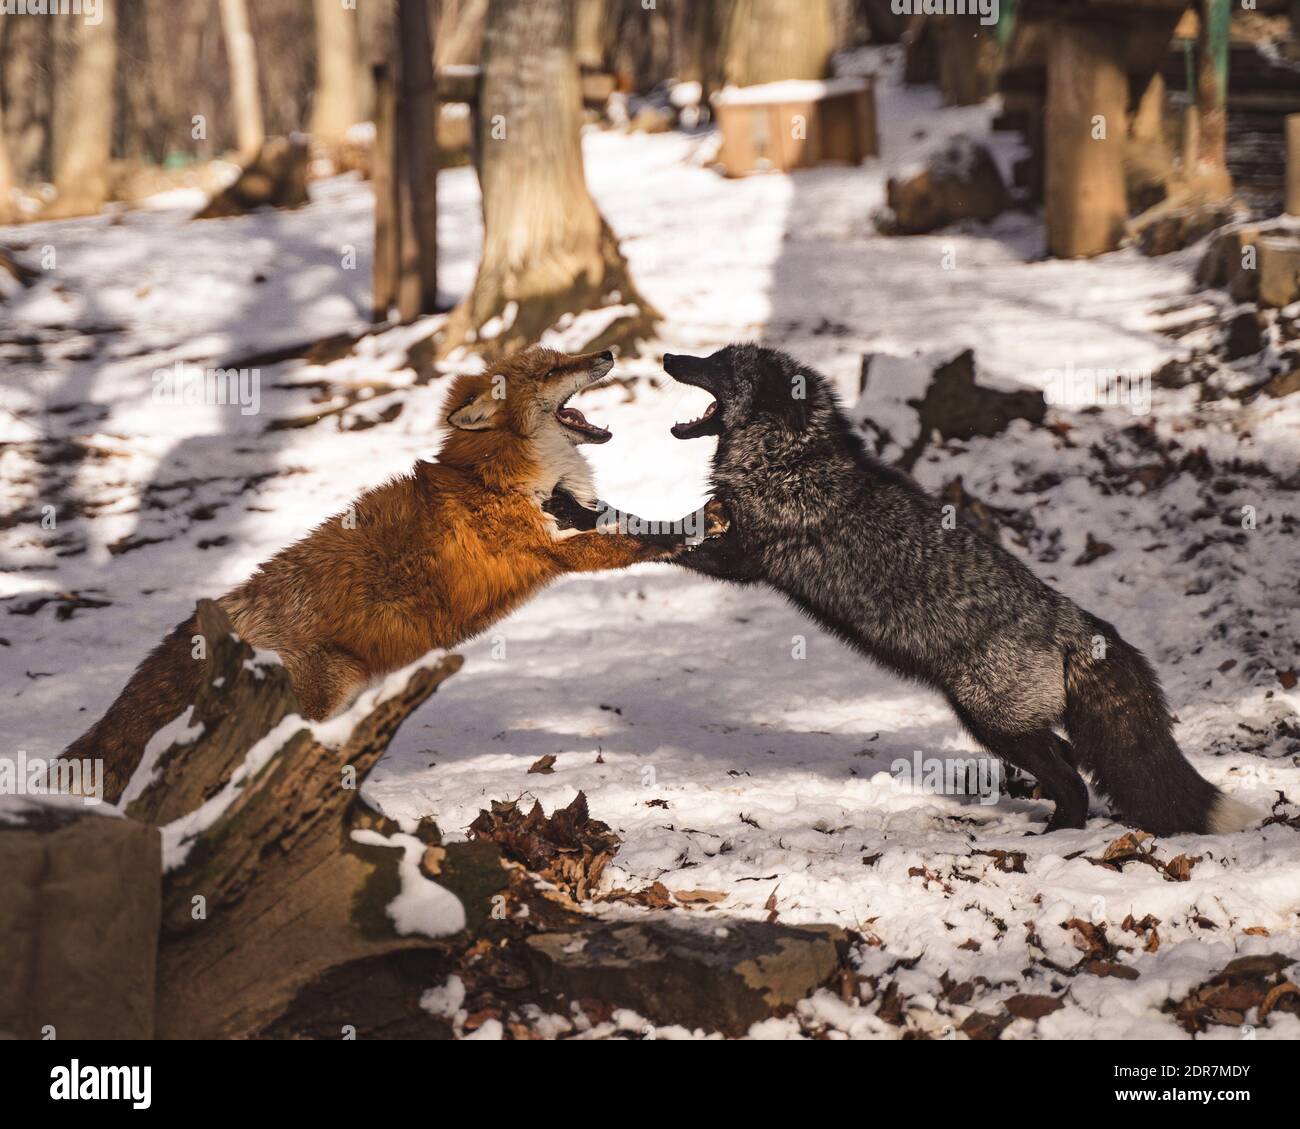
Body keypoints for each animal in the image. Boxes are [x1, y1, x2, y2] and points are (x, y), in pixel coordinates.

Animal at [66, 346, 719, 804]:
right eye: (553, 369)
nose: (607, 351)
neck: (501, 475)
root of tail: (228, 609)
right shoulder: (559, 551)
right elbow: (641, 539)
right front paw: (698, 526)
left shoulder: (580, 516)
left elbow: (633, 520)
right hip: (319, 701)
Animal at [556, 343, 1256, 836]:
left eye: (721, 364)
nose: (669, 358)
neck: (789, 457)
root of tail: (1073, 620)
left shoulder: (742, 557)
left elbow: (656, 530)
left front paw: (582, 512)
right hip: (999, 724)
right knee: (1068, 763)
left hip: (993, 720)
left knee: (1074, 779)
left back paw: (1058, 836)